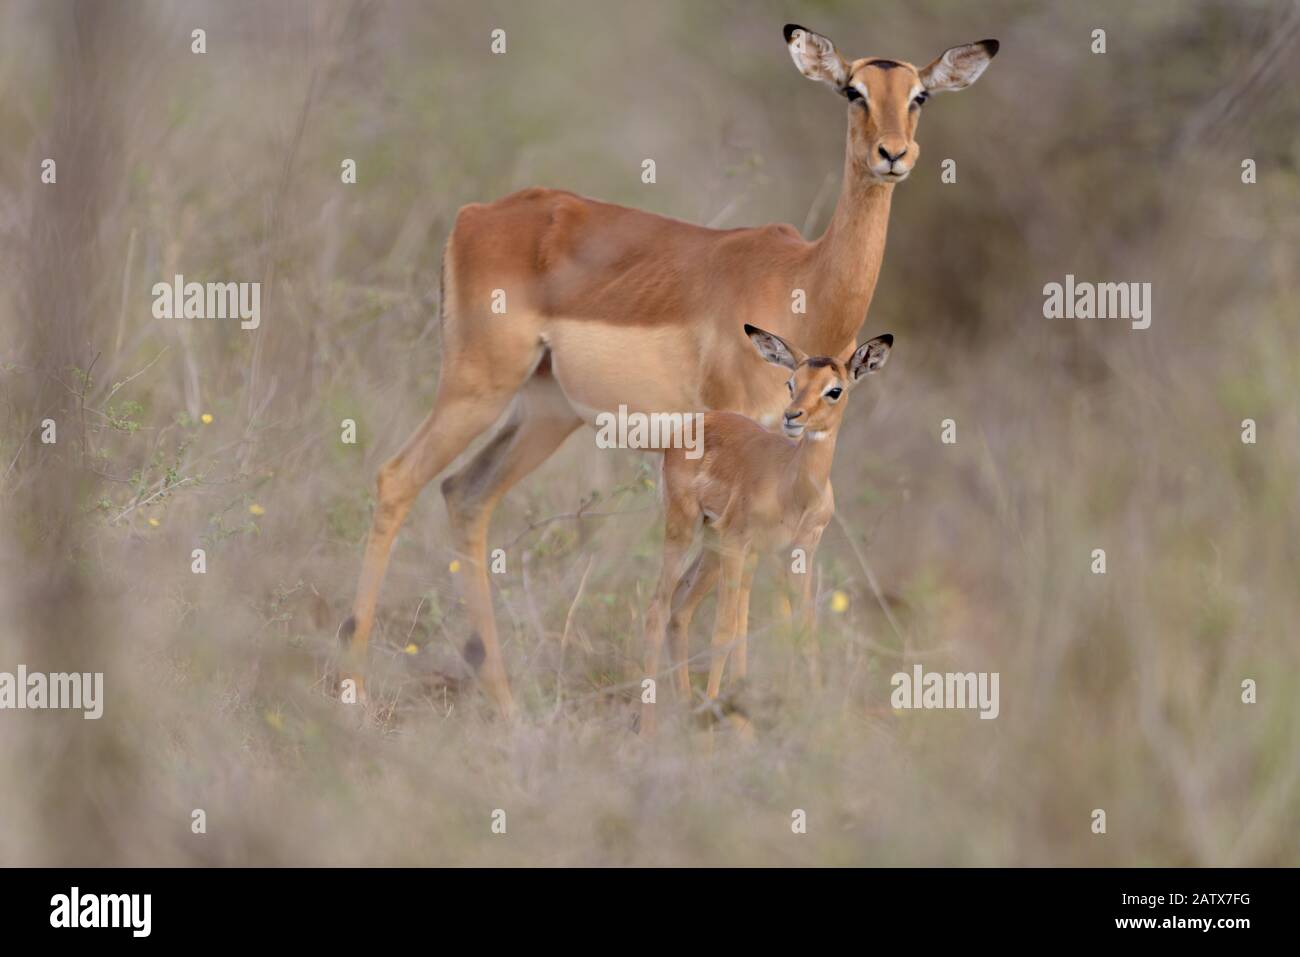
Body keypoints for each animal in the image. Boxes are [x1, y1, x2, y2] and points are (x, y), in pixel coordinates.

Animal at [640, 325, 893, 734]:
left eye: (834, 389)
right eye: (791, 383)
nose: (792, 416)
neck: (793, 486)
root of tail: (693, 425)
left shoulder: (797, 550)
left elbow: (799, 624)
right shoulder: (741, 544)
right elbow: (725, 630)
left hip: (713, 546)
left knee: (680, 609)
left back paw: (688, 713)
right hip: (687, 529)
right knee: (658, 608)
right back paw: (651, 729)